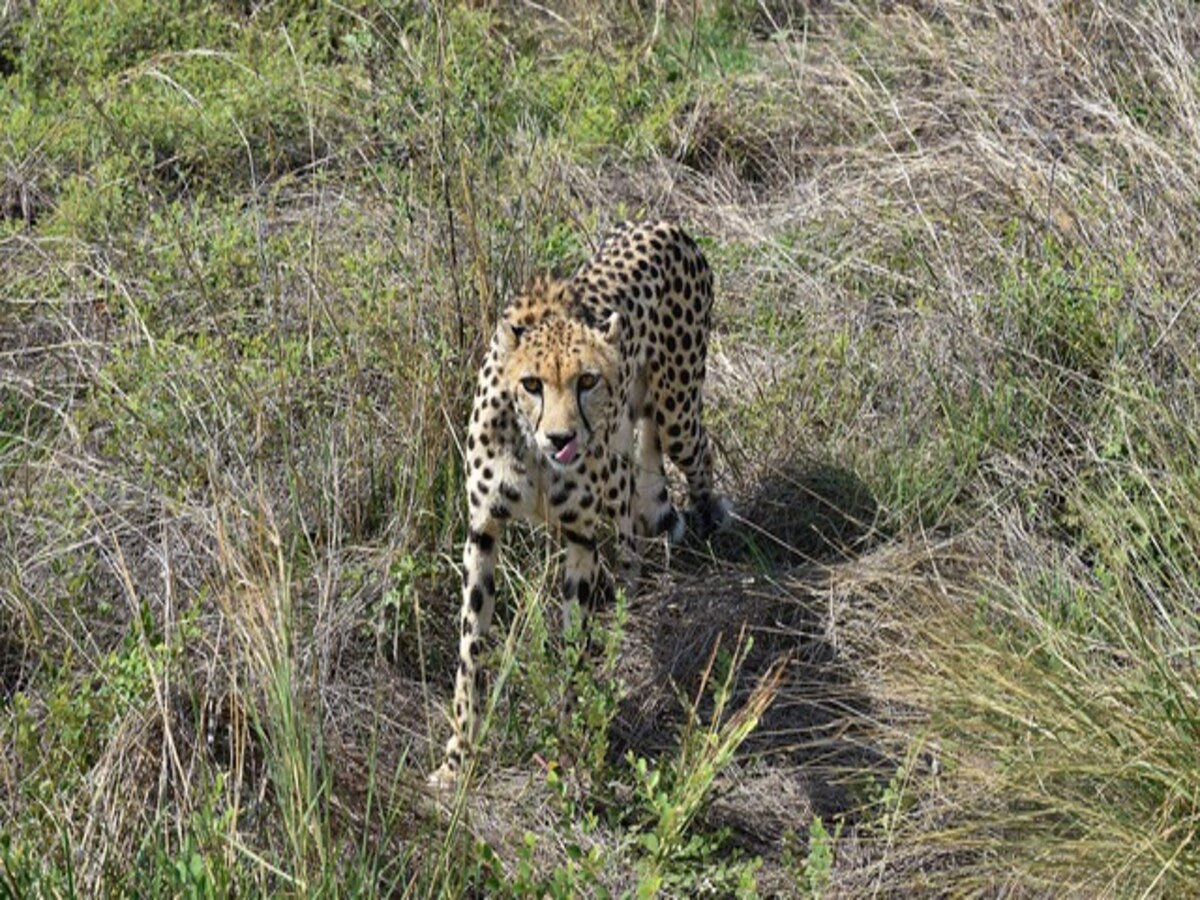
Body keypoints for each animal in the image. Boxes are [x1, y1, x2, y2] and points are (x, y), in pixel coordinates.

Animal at [429, 219, 730, 788]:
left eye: (587, 380)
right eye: (531, 384)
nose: (562, 438)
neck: (533, 452)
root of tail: (664, 223)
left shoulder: (581, 538)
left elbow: (572, 646)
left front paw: (569, 745)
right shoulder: (482, 531)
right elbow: (470, 651)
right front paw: (458, 758)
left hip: (677, 412)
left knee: (694, 457)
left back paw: (707, 526)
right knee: (637, 497)